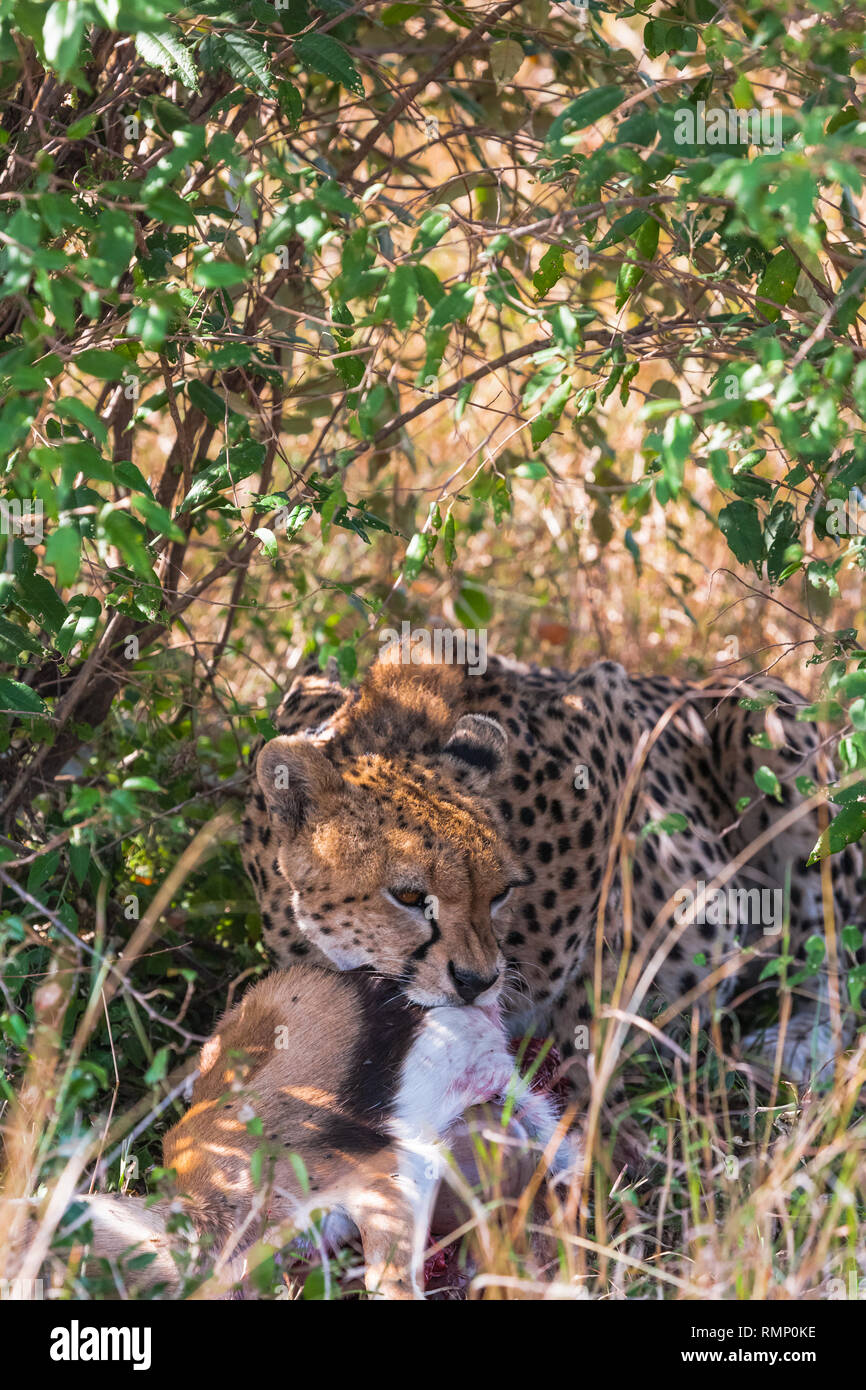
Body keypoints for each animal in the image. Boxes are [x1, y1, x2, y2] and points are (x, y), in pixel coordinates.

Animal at [241, 648, 864, 1109]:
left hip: (761, 713)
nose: (476, 981)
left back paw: (800, 1044)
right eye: (410, 895)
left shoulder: (608, 721)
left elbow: (597, 986)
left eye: (501, 893)